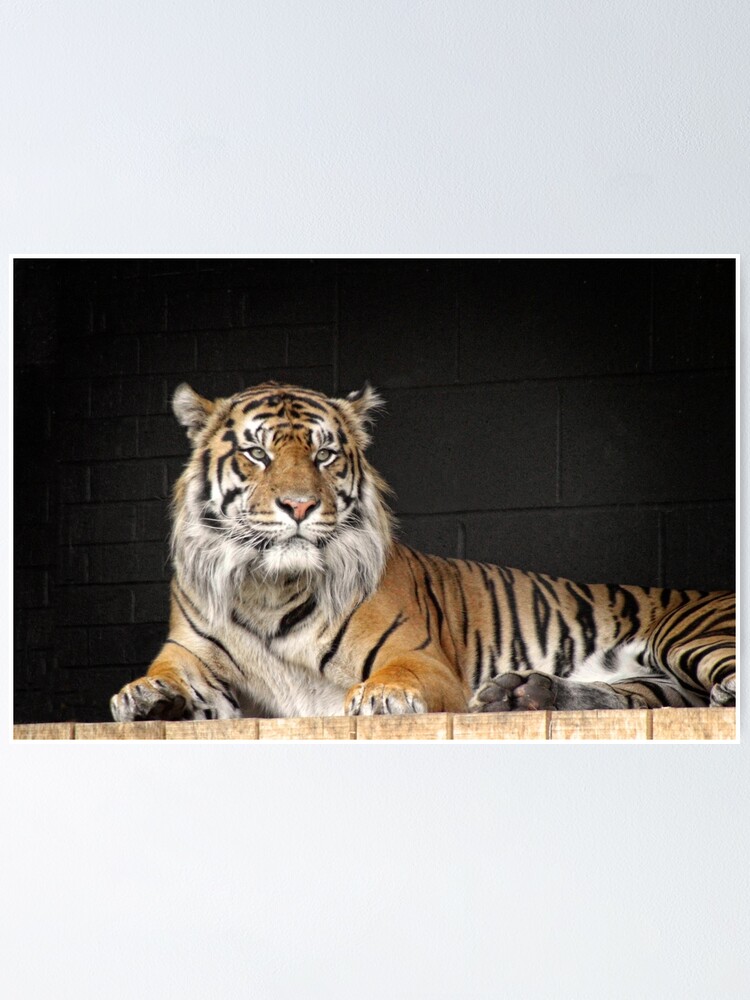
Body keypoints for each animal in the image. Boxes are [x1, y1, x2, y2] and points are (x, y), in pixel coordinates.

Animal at [110, 381, 736, 722]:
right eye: (257, 454)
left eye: (325, 455)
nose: (299, 506)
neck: (270, 586)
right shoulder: (191, 657)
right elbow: (168, 678)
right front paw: (141, 697)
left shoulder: (422, 656)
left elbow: (398, 674)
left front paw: (382, 695)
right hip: (654, 678)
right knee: (648, 698)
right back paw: (522, 694)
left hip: (687, 636)